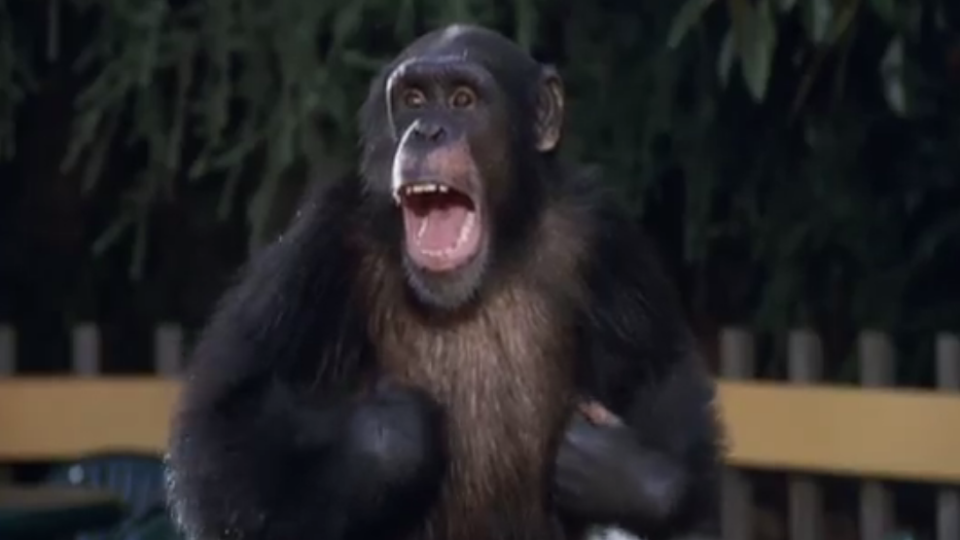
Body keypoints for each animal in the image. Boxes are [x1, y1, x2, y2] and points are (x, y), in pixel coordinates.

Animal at [165, 23, 723, 540]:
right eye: (412, 99)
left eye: (462, 100)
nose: (427, 130)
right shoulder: (320, 242)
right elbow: (224, 423)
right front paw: (395, 437)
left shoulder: (607, 237)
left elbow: (666, 394)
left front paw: (622, 473)